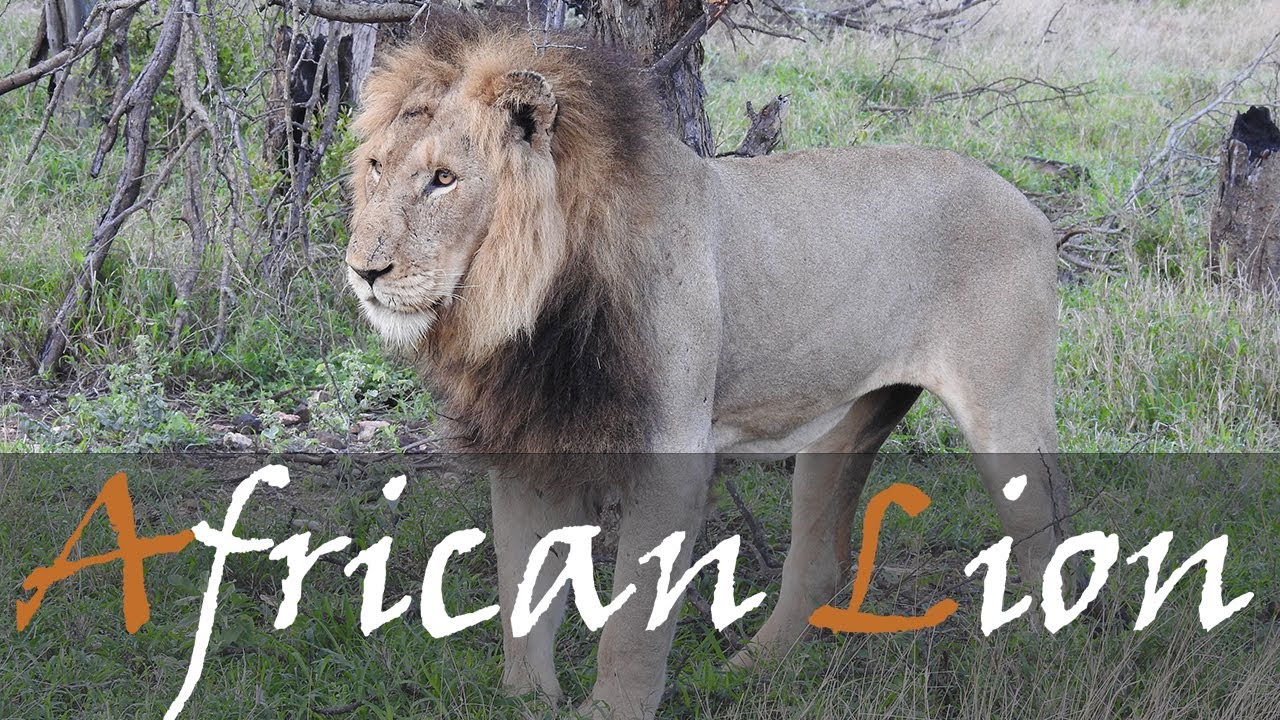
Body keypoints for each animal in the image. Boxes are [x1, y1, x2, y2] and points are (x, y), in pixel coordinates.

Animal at [345, 19, 1071, 720]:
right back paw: (742, 675)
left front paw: (611, 710)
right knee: (819, 564)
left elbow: (634, 617)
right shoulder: (533, 443)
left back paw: (1037, 671)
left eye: (444, 179)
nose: (364, 270)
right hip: (845, 425)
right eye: (376, 167)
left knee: (1046, 543)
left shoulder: (671, 452)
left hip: (1005, 411)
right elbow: (523, 590)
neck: (530, 302)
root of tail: (1028, 204)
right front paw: (524, 701)